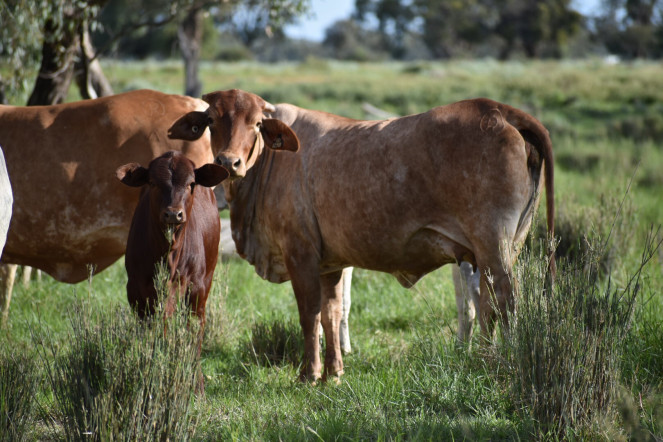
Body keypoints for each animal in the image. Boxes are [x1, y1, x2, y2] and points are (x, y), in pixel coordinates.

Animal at [116, 150, 228, 392]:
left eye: (191, 183)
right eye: (152, 182)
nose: (173, 214)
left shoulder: (196, 288)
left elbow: (193, 333)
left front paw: (195, 385)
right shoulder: (136, 290)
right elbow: (152, 330)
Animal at [168, 89, 555, 383]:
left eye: (257, 124)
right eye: (212, 120)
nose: (228, 162)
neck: (269, 164)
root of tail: (499, 110)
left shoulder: (301, 255)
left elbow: (309, 315)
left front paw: (309, 374)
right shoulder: (330, 265)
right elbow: (332, 314)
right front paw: (334, 372)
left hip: (493, 247)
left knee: (502, 302)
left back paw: (499, 362)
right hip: (496, 251)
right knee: (488, 303)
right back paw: (486, 357)